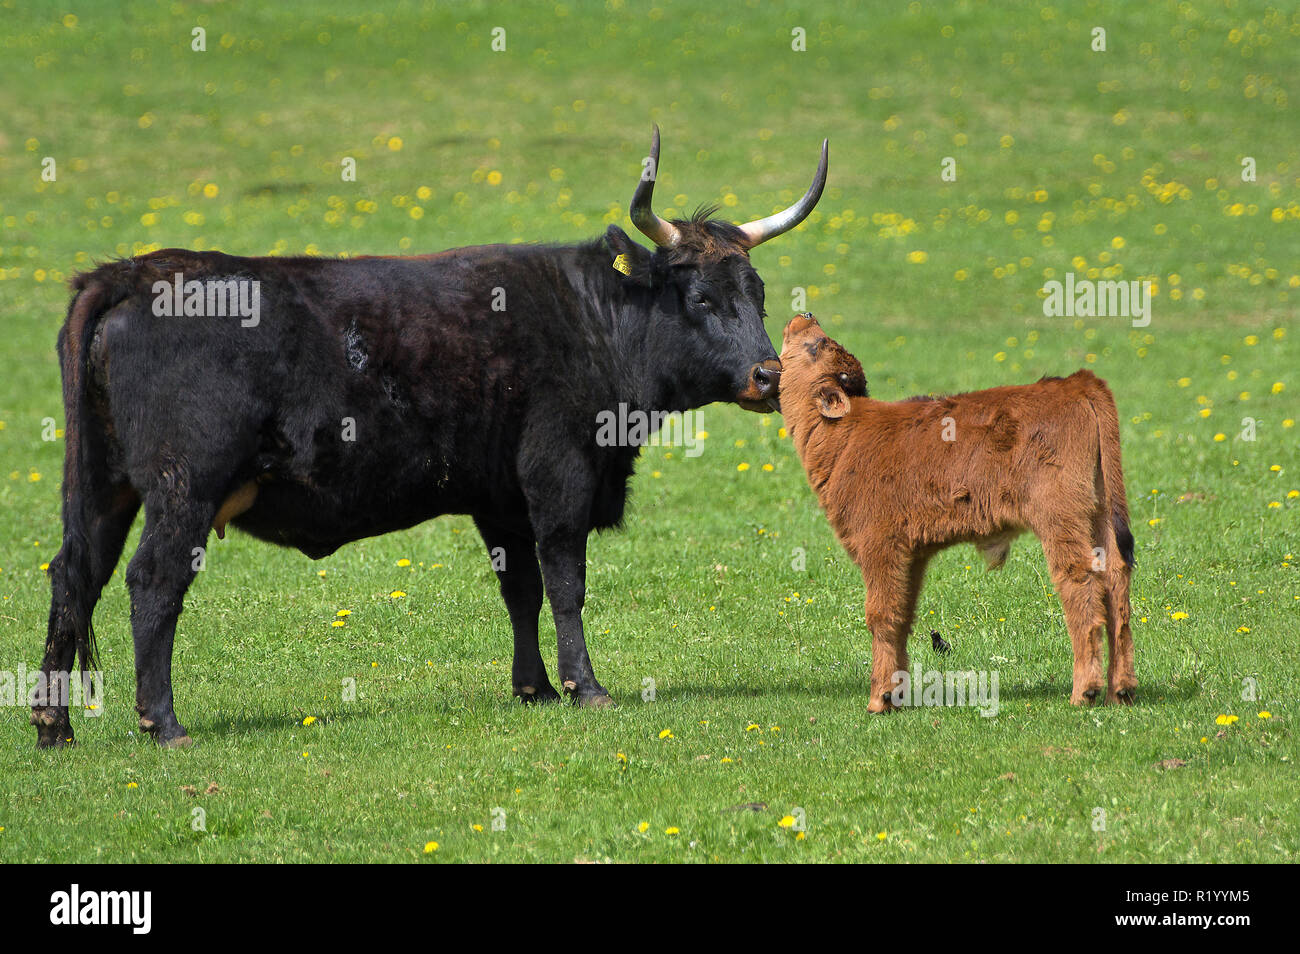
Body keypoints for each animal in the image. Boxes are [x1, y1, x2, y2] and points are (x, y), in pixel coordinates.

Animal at [31, 128, 828, 747]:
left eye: (757, 293)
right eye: (702, 297)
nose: (768, 375)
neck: (593, 318)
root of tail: (133, 273)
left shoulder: (500, 497)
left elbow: (521, 588)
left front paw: (535, 688)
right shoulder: (559, 476)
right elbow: (565, 581)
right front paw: (587, 686)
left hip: (105, 487)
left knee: (75, 574)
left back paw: (53, 726)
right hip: (182, 489)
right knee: (151, 582)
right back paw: (163, 723)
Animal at [776, 314, 1136, 712]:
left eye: (818, 346)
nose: (805, 315)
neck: (846, 434)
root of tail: (1075, 382)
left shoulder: (880, 546)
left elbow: (881, 615)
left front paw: (879, 698)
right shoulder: (912, 554)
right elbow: (902, 616)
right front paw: (897, 693)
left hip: (1062, 518)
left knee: (1080, 581)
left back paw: (1084, 690)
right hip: (1099, 513)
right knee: (1115, 579)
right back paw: (1120, 690)